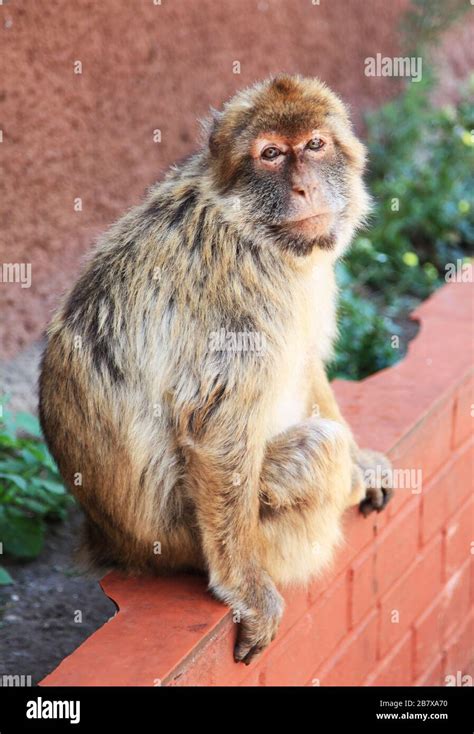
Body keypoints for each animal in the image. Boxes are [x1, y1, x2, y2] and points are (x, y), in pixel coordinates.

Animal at [39, 75, 393, 665]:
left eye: (314, 145)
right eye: (271, 154)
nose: (304, 188)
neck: (247, 223)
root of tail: (112, 540)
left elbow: (305, 362)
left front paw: (363, 460)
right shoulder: (242, 283)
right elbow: (216, 432)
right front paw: (246, 592)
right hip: (194, 538)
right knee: (317, 451)